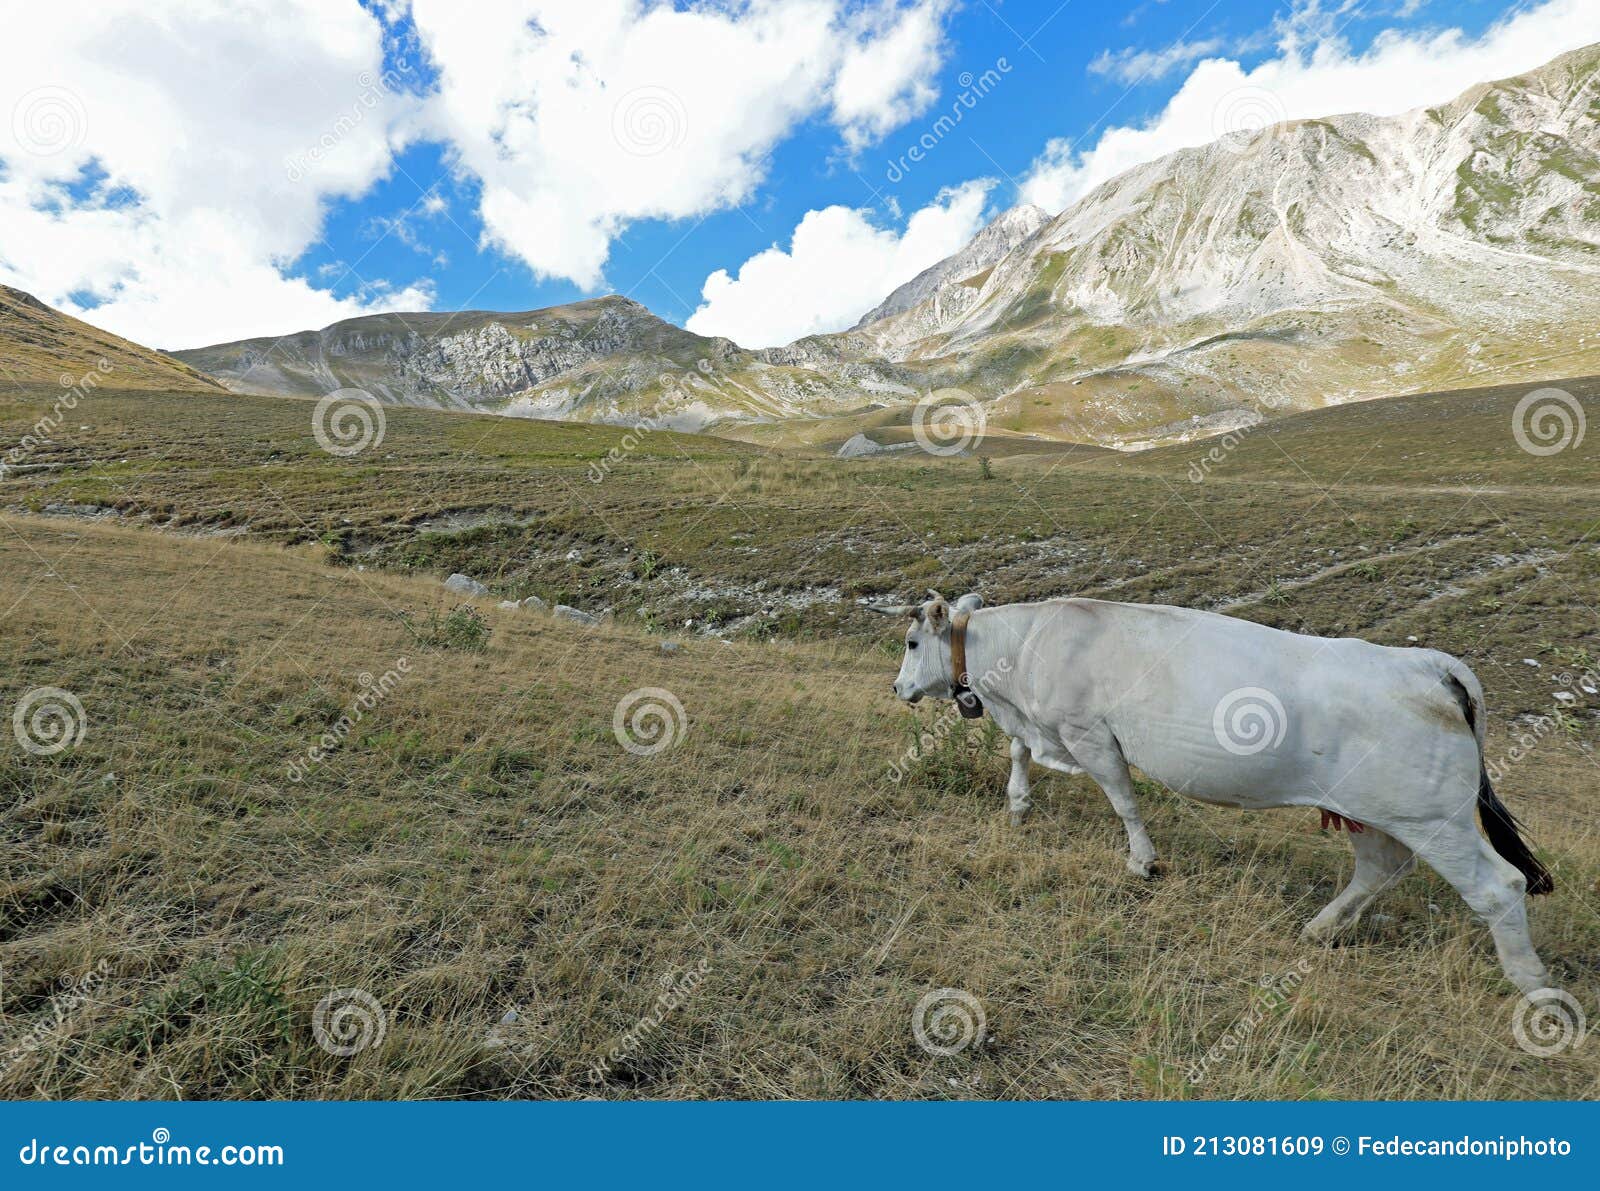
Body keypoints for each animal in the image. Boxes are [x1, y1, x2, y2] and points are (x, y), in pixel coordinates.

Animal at [875, 590, 1561, 999]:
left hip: (1434, 818)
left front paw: (1143, 862)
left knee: (1496, 885)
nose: (897, 688)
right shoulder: (1041, 725)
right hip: (1375, 813)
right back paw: (1320, 929)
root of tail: (1430, 665)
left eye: (911, 643)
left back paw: (1532, 986)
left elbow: (1123, 800)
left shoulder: (1090, 734)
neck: (1023, 657)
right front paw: (1018, 805)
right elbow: (1018, 751)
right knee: (1380, 868)